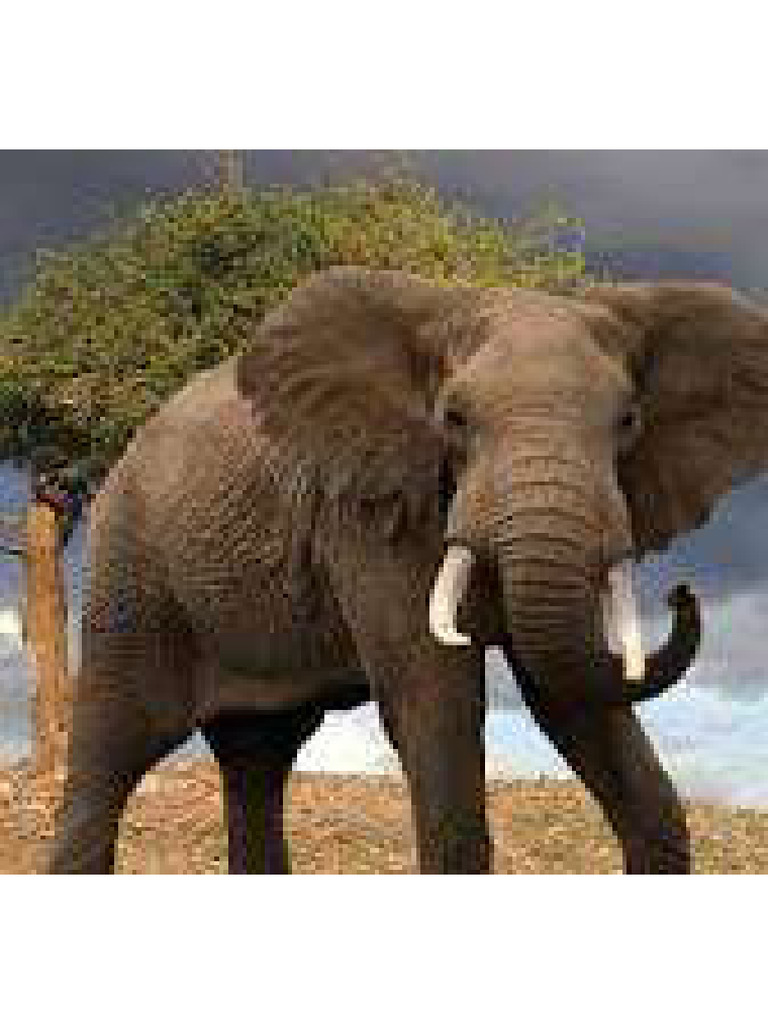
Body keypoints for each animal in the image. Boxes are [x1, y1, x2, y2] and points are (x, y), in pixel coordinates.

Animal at [49, 264, 768, 876]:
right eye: (454, 419)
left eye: (627, 421)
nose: (681, 594)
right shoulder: (369, 513)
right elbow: (435, 698)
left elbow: (570, 695)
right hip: (130, 568)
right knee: (110, 755)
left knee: (257, 760)